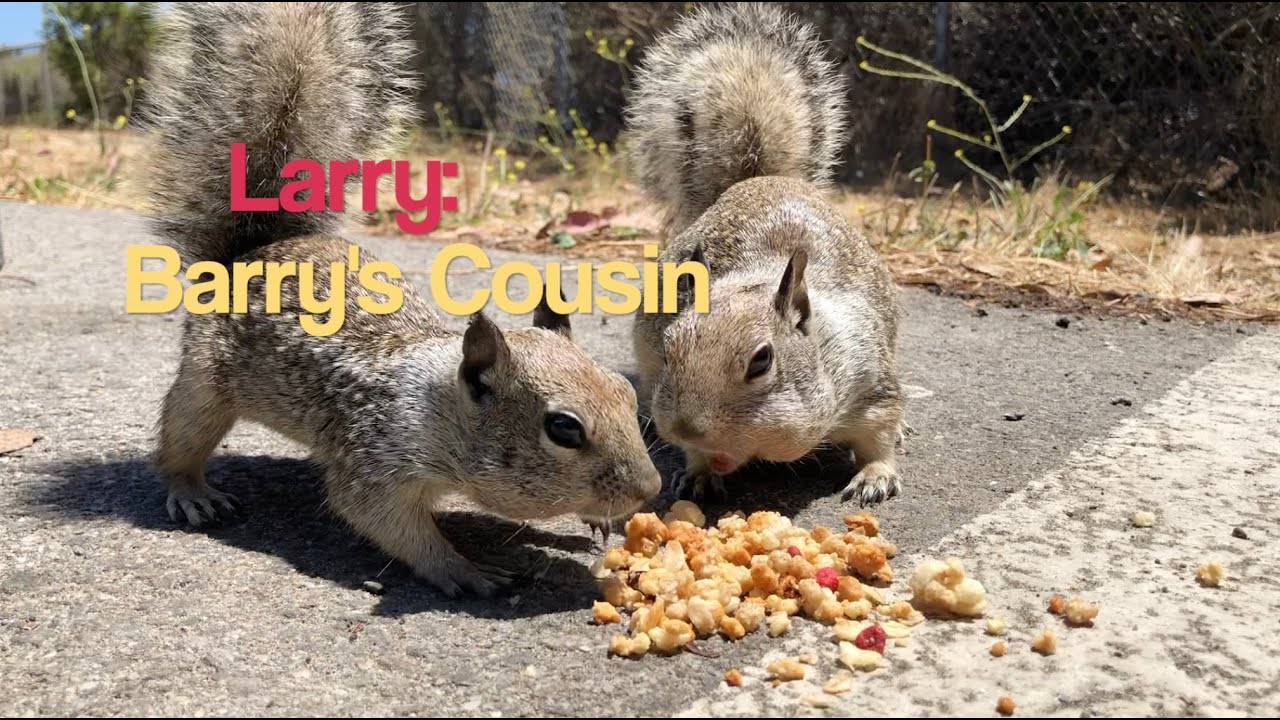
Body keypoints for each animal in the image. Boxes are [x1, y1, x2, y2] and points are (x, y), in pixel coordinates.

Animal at [143, 2, 662, 598]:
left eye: (626, 390)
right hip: (206, 381)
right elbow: (382, 519)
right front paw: (463, 569)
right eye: (563, 429)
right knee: (182, 436)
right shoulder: (378, 456)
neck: (440, 404)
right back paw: (191, 491)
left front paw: (597, 519)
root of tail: (247, 256)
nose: (650, 488)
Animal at [626, 3, 909, 507]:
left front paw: (875, 475)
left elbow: (878, 434)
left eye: (761, 361)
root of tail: (756, 179)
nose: (686, 428)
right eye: (668, 347)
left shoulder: (871, 379)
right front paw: (698, 472)